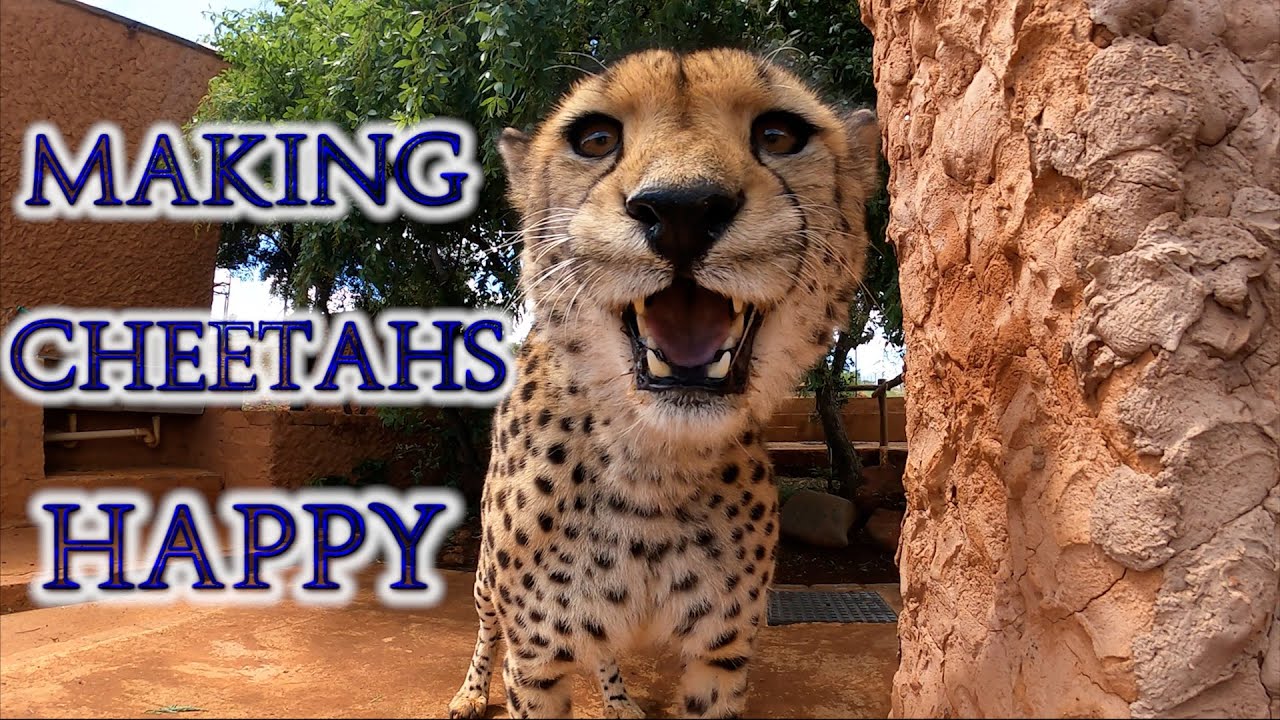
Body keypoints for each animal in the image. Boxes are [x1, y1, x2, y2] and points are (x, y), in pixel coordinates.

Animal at [448, 47, 879, 719]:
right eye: (596, 139)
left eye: (778, 135)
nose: (682, 209)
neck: (654, 465)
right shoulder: (536, 660)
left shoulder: (721, 655)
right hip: (491, 581)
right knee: (487, 625)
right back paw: (470, 692)